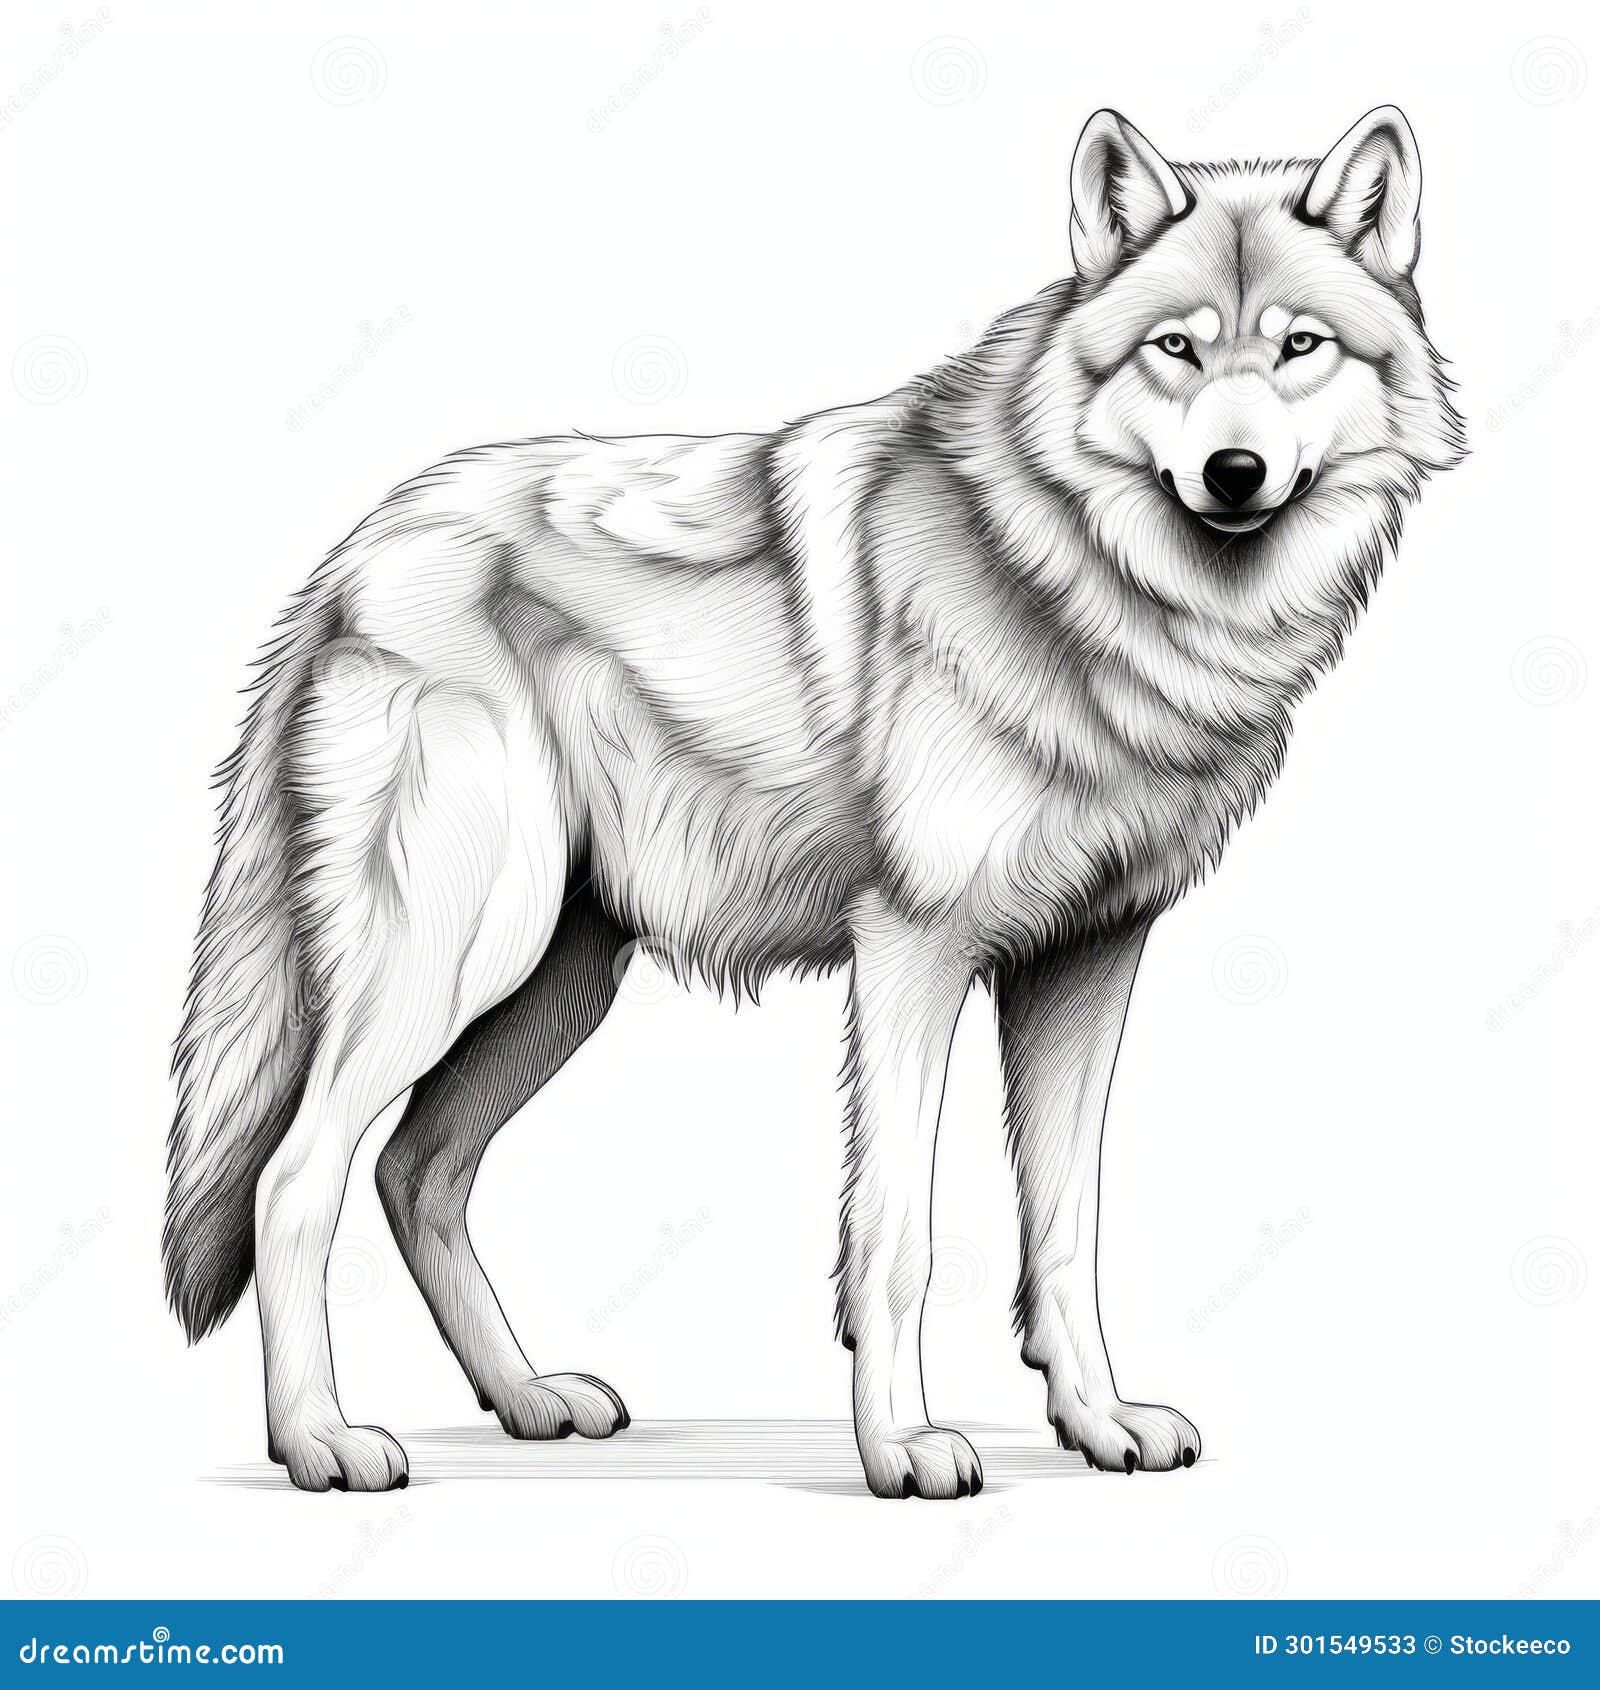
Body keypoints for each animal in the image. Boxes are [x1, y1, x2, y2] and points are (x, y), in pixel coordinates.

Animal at [166, 107, 1461, 1496]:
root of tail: (353, 554)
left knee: (418, 1170)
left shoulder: (1087, 960)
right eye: (1176, 347)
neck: (1080, 584)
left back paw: (525, 1397)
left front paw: (1100, 1421)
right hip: (456, 956)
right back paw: (320, 1439)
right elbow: (897, 1236)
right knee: (294, 1180)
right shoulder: (910, 950)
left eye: (1298, 346)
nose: (1232, 470)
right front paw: (900, 1448)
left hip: (553, 983)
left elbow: (1067, 1234)